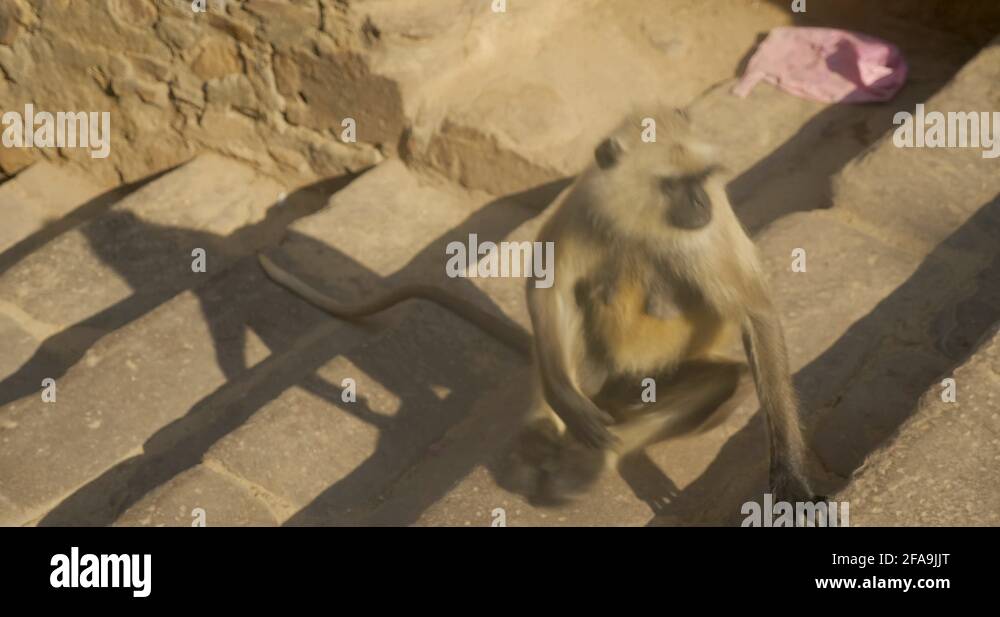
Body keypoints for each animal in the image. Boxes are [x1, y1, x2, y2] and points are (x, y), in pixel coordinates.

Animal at [257, 106, 817, 505]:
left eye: (702, 180)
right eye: (675, 184)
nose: (701, 203)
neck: (642, 217)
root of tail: (618, 395)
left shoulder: (701, 235)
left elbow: (755, 313)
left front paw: (789, 475)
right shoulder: (587, 199)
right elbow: (549, 284)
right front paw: (562, 406)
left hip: (645, 382)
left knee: (726, 380)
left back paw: (591, 460)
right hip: (601, 377)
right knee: (580, 307)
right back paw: (547, 429)